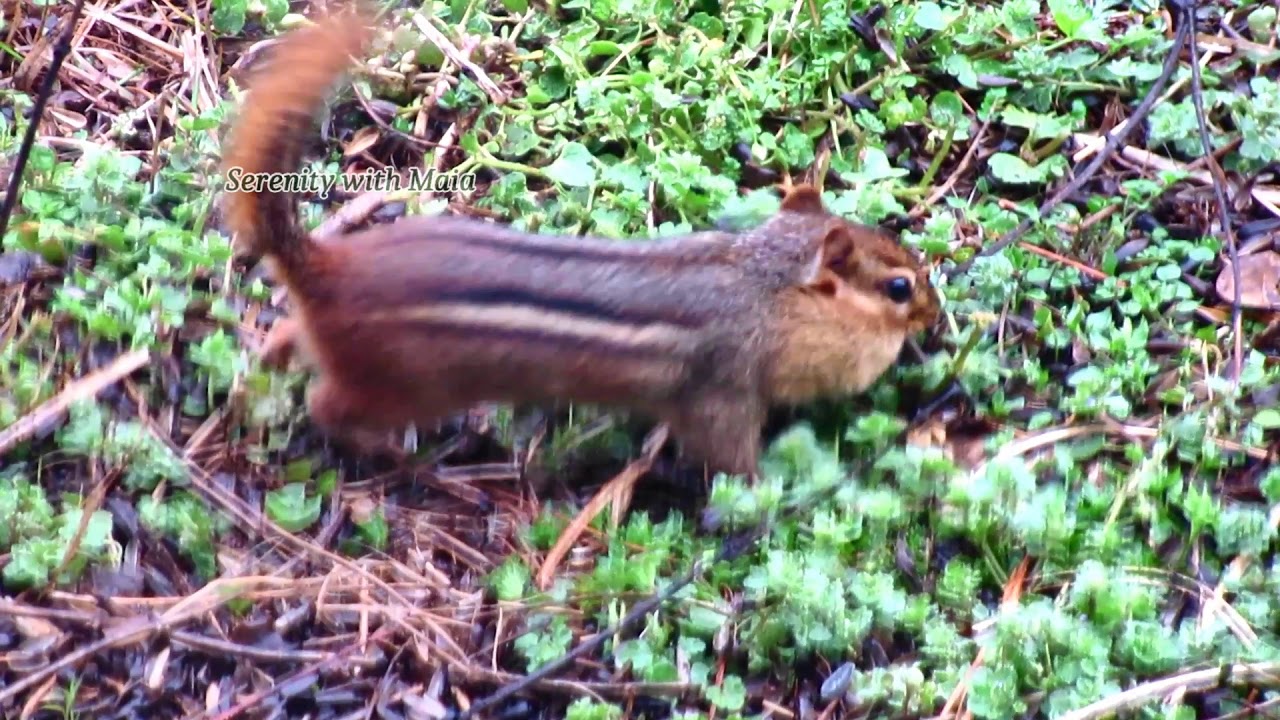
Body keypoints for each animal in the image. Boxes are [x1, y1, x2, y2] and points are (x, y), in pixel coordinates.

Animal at [217, 9, 943, 477]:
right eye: (898, 287)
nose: (935, 315)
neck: (762, 287)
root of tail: (324, 266)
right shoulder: (724, 391)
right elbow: (729, 456)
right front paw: (767, 495)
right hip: (400, 384)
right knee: (328, 406)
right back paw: (398, 453)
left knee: (287, 339)